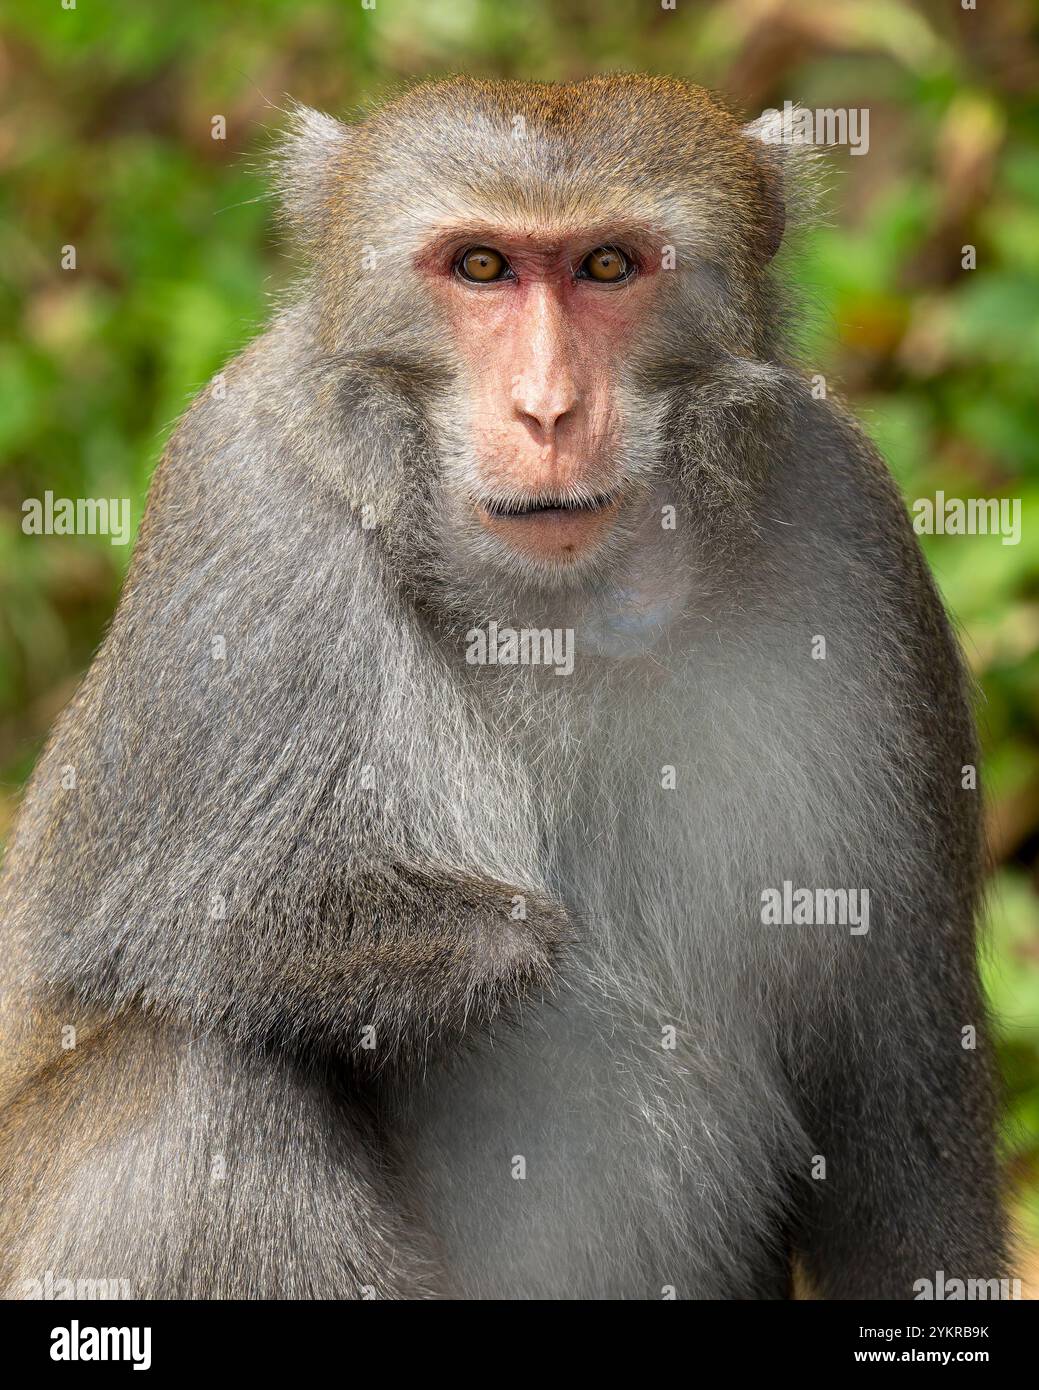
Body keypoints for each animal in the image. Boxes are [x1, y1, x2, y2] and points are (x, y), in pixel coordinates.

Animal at [0, 75, 1008, 1300]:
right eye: (480, 267)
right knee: (200, 1076)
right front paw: (532, 969)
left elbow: (899, 1116)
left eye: (608, 266)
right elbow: (187, 928)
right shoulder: (241, 499)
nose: (548, 411)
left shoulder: (848, 525)